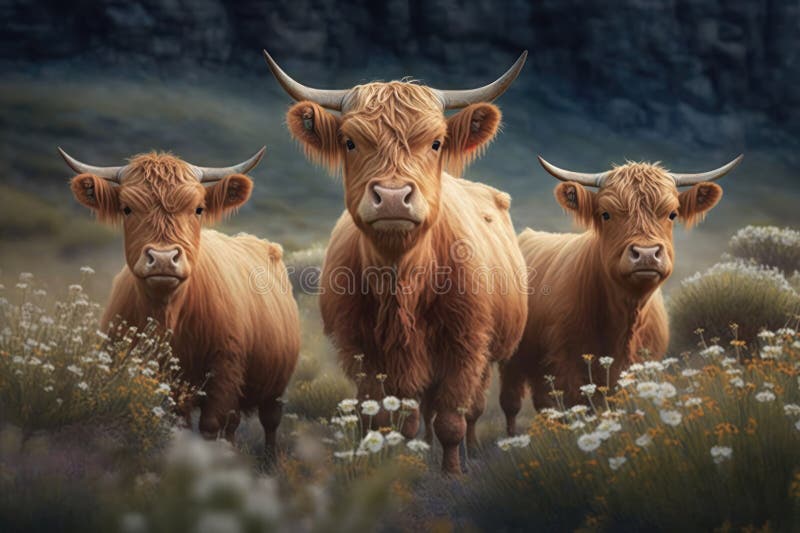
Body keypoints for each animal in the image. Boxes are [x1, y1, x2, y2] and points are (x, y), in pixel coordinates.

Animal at [60, 147, 300, 455]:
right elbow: (180, 427)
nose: (163, 258)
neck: (168, 317)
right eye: (127, 208)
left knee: (269, 422)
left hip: (276, 387)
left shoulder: (224, 371)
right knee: (233, 425)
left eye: (198, 209)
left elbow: (209, 426)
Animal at [263, 51, 529, 473]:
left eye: (436, 142)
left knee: (471, 409)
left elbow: (452, 417)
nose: (391, 197)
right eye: (350, 142)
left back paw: (470, 452)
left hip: (489, 352)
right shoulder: (363, 351)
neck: (402, 281)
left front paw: (452, 472)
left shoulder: (466, 346)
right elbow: (389, 418)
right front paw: (398, 463)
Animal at [500, 155, 743, 435]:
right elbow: (576, 410)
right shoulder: (566, 366)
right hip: (513, 359)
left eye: (672, 214)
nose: (646, 254)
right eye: (606, 214)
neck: (623, 321)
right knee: (511, 404)